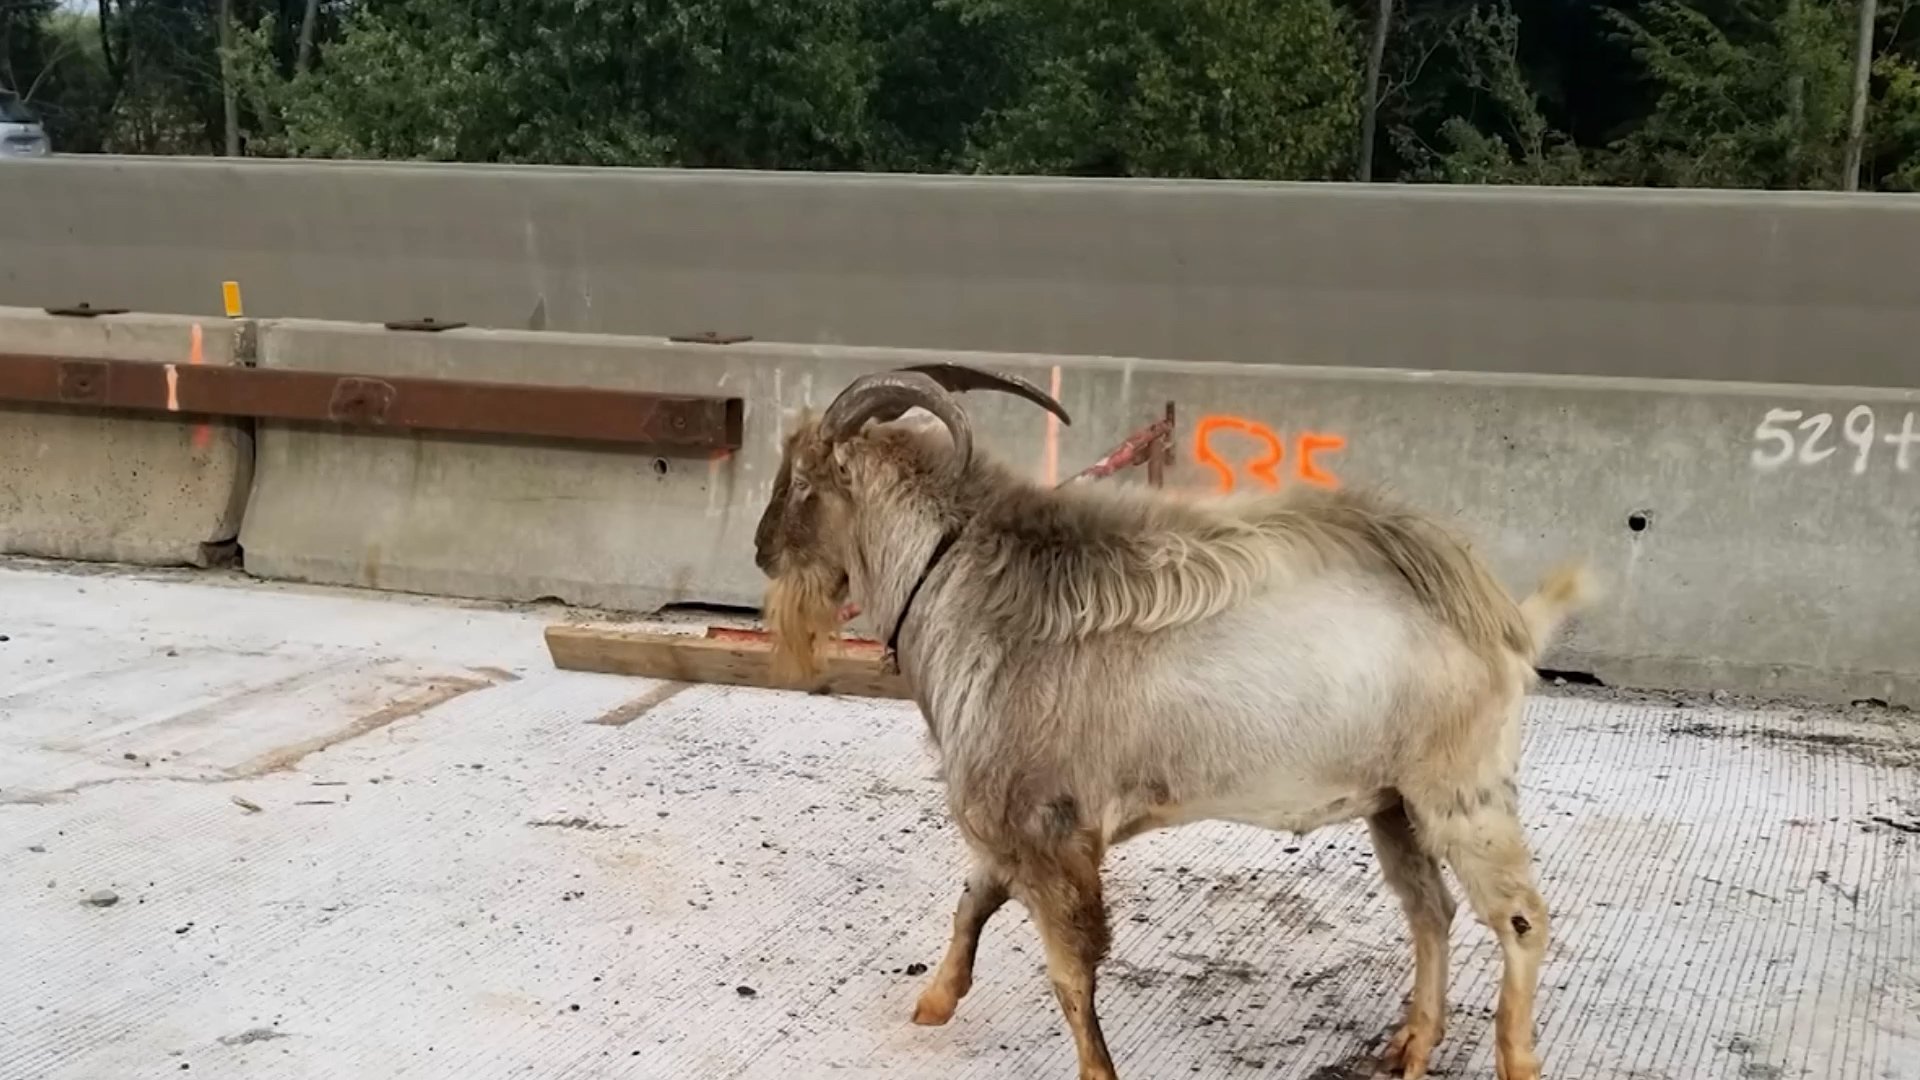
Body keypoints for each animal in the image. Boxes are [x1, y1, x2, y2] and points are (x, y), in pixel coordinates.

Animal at [752, 362, 1594, 1080]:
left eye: (803, 481)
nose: (759, 549)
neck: (960, 578)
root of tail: (1500, 616)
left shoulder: (1047, 827)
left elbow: (1069, 969)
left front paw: (1096, 1070)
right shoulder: (1014, 817)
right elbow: (974, 901)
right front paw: (934, 1001)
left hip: (1461, 788)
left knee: (1520, 918)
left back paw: (1515, 1058)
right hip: (1396, 802)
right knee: (1431, 910)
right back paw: (1413, 1043)